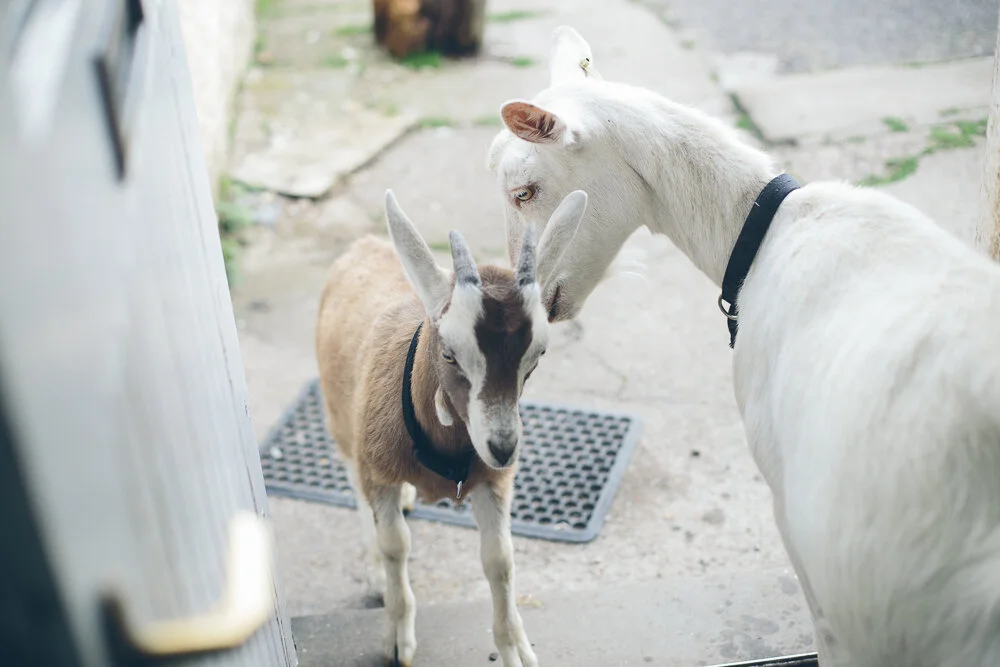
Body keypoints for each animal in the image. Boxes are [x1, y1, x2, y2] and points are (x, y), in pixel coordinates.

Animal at [315, 189, 587, 667]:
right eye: (449, 353)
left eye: (537, 354)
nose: (502, 447)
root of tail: (361, 247)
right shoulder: (378, 472)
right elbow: (394, 545)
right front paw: (396, 638)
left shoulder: (492, 483)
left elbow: (500, 559)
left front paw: (514, 646)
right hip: (342, 424)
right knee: (354, 481)